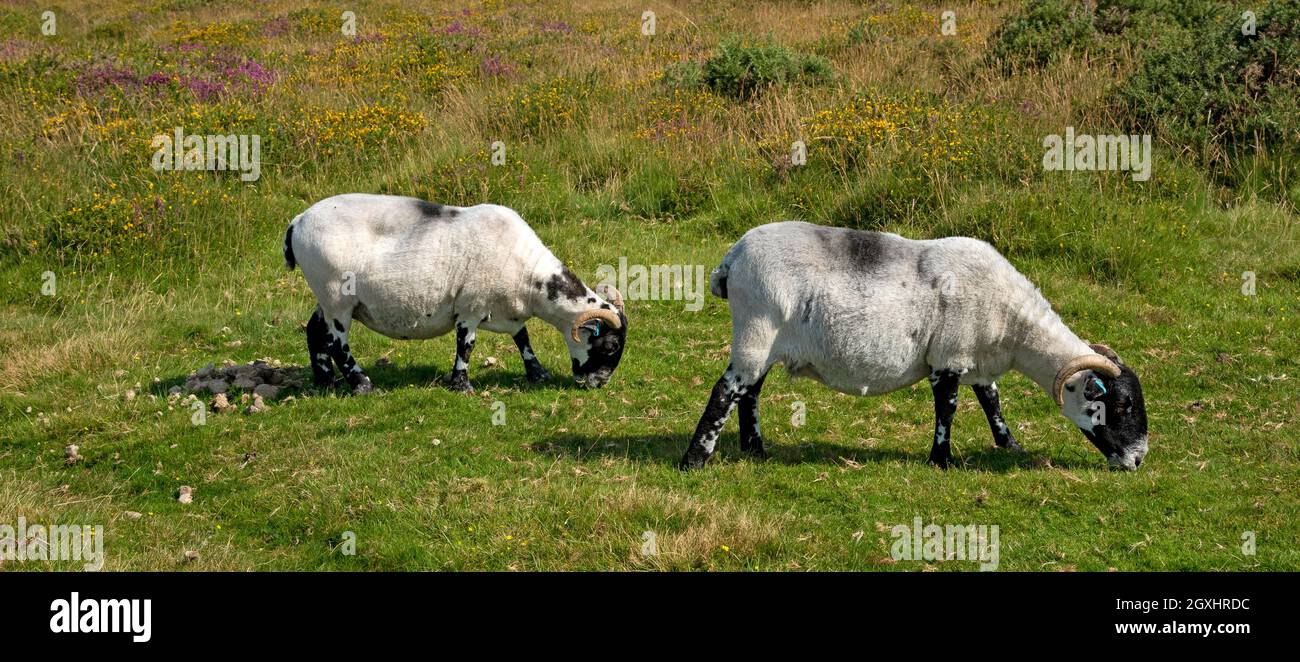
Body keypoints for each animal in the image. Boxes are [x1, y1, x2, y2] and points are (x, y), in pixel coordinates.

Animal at [283, 194, 627, 393]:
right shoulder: (470, 306)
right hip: (337, 296)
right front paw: (461, 385)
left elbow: (523, 338)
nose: (599, 384)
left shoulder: (506, 311)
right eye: (610, 346)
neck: (529, 277)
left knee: (315, 330)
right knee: (336, 342)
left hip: (325, 297)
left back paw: (325, 382)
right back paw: (362, 384)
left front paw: (538, 373)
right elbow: (467, 346)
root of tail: (297, 222)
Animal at [679, 221, 1148, 471]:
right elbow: (949, 409)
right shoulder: (949, 357)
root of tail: (731, 259)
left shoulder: (973, 356)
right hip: (757, 328)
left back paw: (755, 448)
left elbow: (991, 401)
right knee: (726, 391)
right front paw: (942, 459)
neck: (1013, 328)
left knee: (750, 392)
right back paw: (695, 460)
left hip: (765, 343)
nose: (1139, 460)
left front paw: (1010, 444)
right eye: (1122, 405)